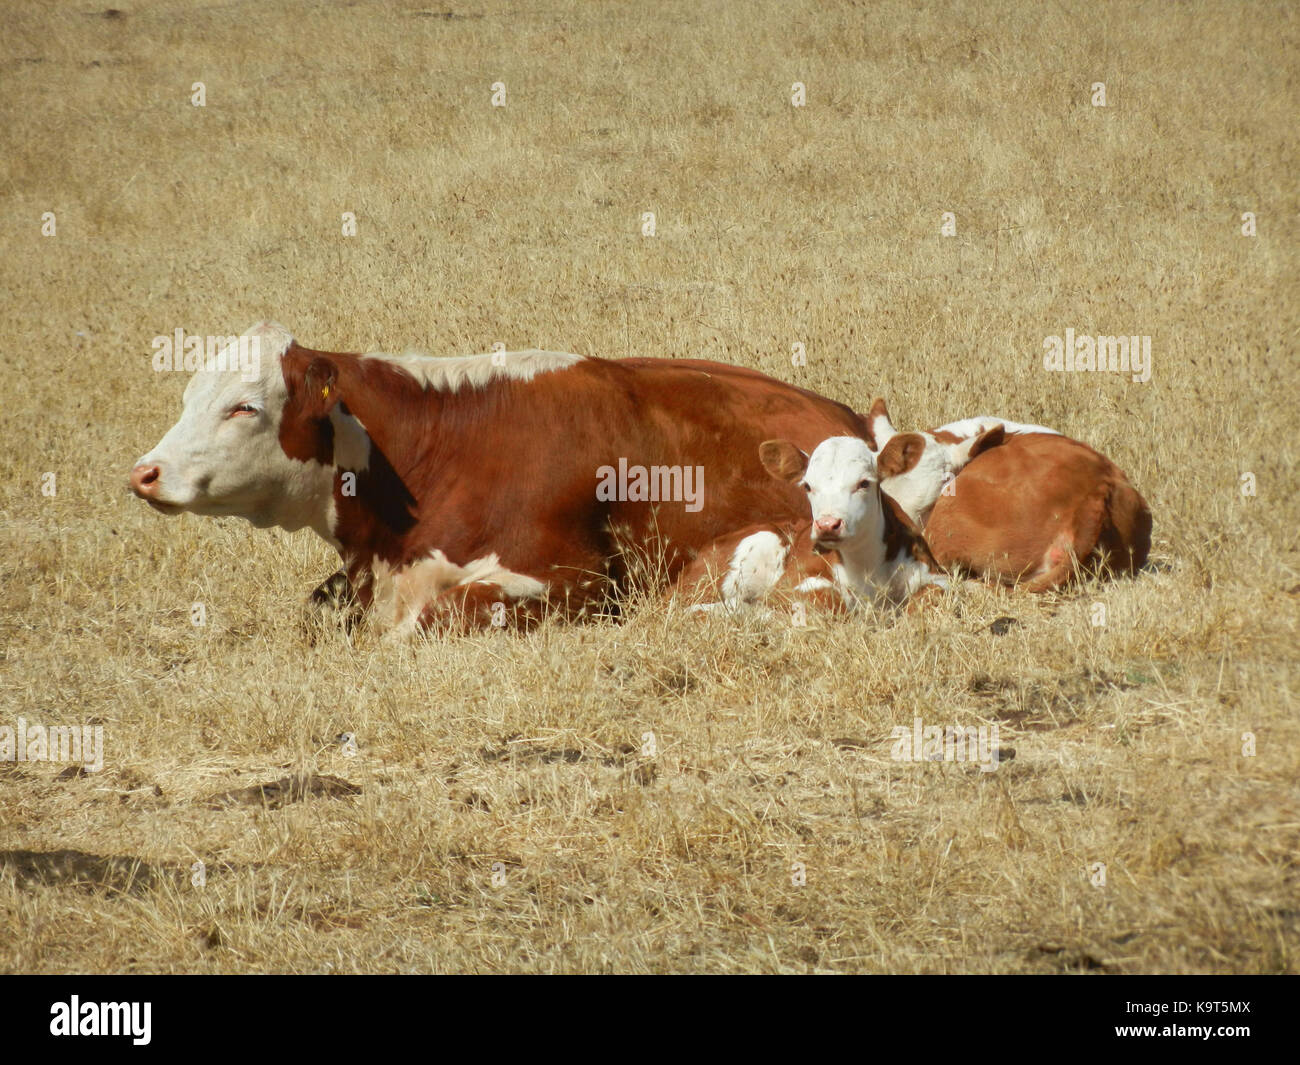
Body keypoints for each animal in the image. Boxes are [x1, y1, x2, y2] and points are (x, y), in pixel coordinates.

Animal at [129, 322, 870, 634]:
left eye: (243, 406)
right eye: (189, 394)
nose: (145, 472)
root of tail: (845, 412)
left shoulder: (579, 582)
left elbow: (434, 617)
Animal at [675, 436, 946, 614]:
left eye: (864, 483)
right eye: (807, 486)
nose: (827, 524)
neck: (867, 570)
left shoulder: (932, 571)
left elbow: (935, 593)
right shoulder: (795, 581)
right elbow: (824, 596)